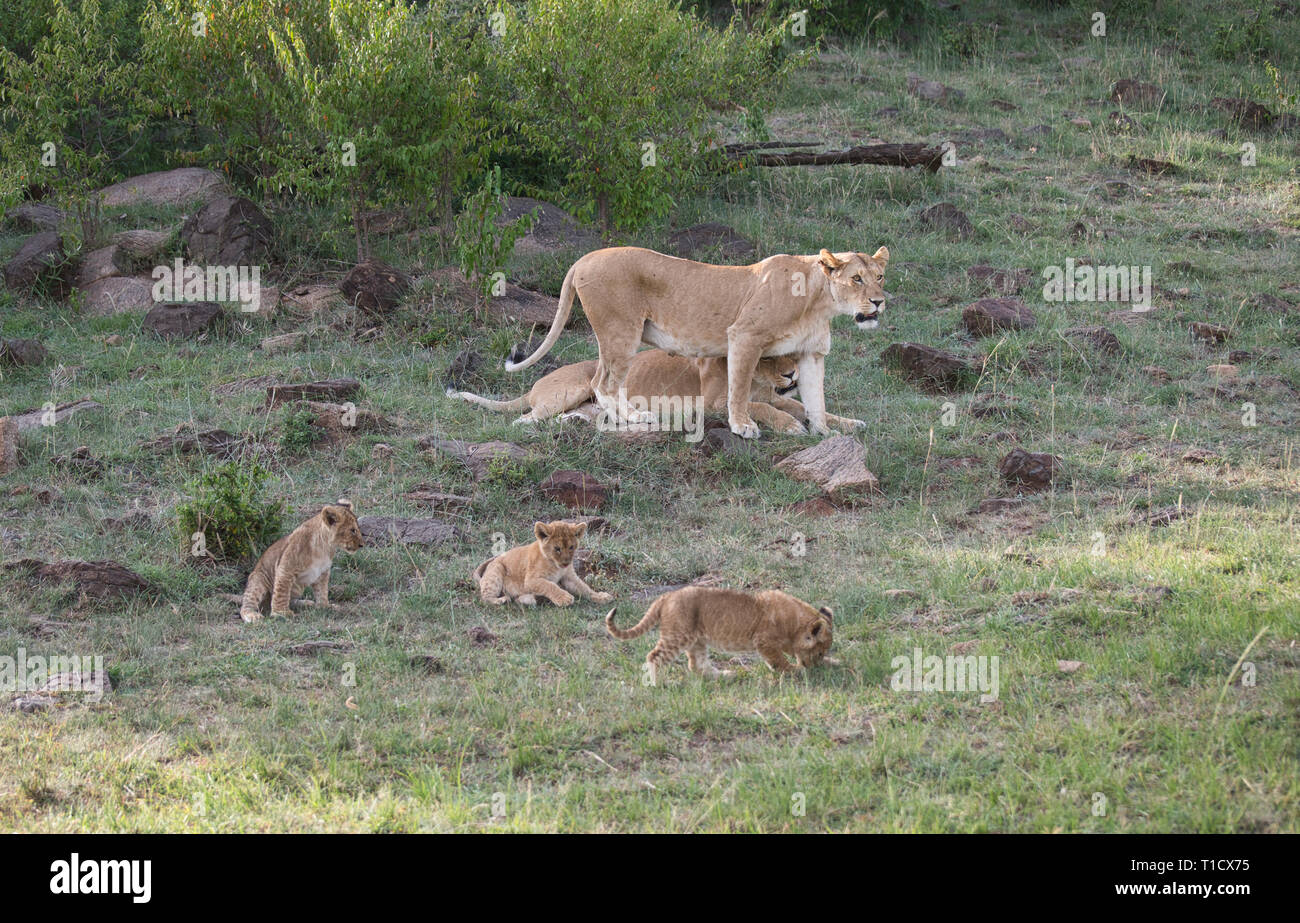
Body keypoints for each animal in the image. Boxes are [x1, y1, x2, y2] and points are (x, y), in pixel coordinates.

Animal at [504, 246, 888, 438]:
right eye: (856, 279)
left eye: (880, 277)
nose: (879, 302)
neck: (819, 301)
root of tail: (584, 258)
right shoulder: (744, 336)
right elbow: (740, 392)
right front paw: (743, 426)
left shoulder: (811, 354)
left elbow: (814, 399)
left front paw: (827, 431)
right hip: (621, 331)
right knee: (603, 383)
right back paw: (635, 418)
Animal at [605, 586, 833, 682]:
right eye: (819, 652)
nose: (816, 666)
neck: (794, 625)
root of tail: (666, 596)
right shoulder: (764, 642)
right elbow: (779, 662)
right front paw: (797, 670)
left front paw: (831, 663)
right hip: (677, 636)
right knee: (654, 657)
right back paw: (656, 684)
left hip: (697, 640)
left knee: (696, 665)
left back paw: (725, 675)